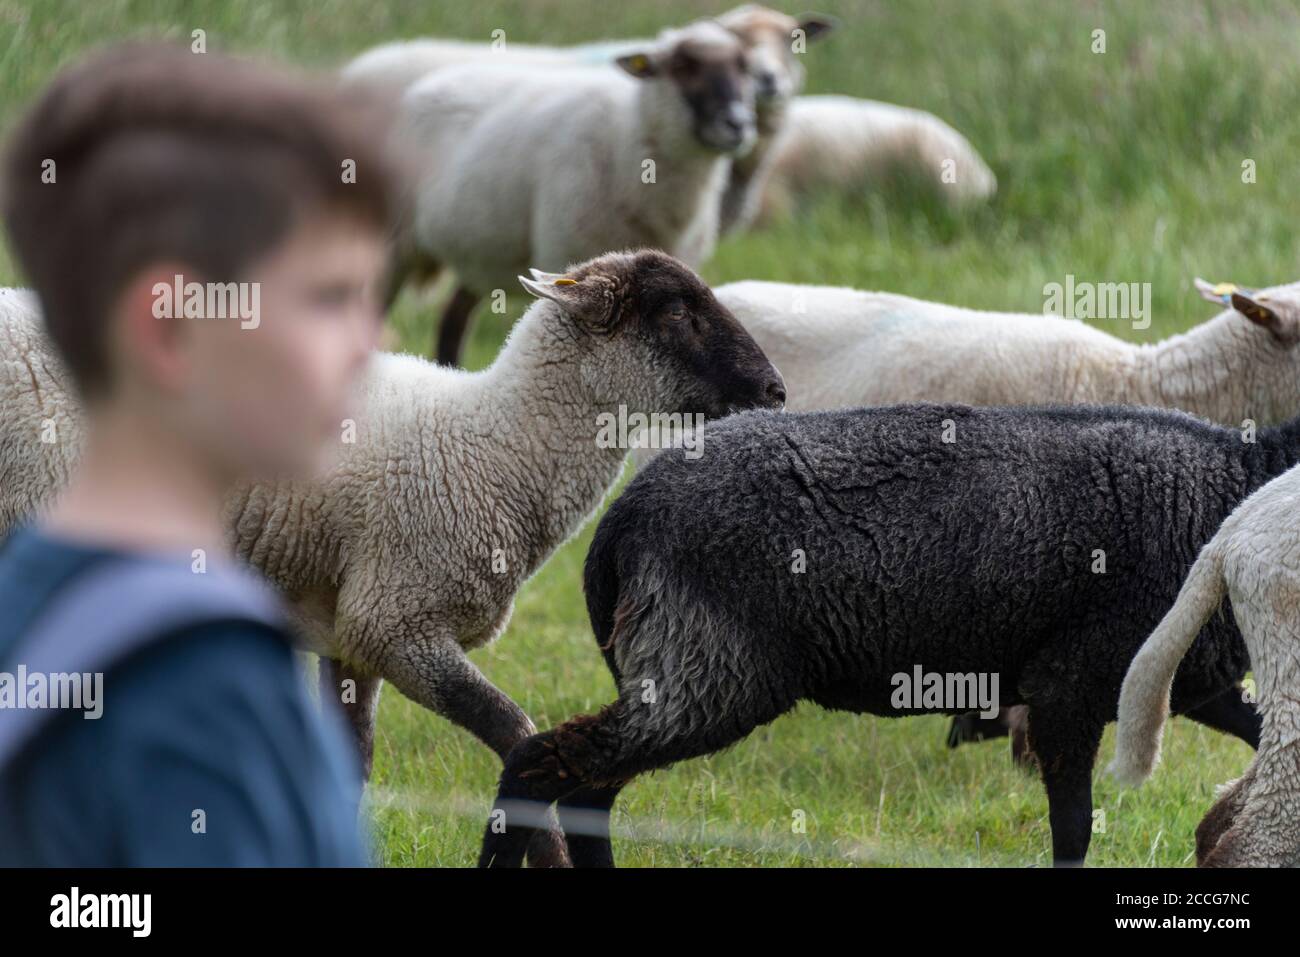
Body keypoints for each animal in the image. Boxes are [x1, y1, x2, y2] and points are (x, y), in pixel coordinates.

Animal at [0, 250, 787, 868]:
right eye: (677, 312)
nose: (774, 391)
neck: (493, 444)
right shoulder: (396, 621)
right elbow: (514, 730)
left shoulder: (351, 639)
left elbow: (354, 764)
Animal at [391, 21, 760, 366]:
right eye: (684, 67)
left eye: (744, 67)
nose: (738, 124)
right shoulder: (567, 254)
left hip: (479, 253)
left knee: (453, 318)